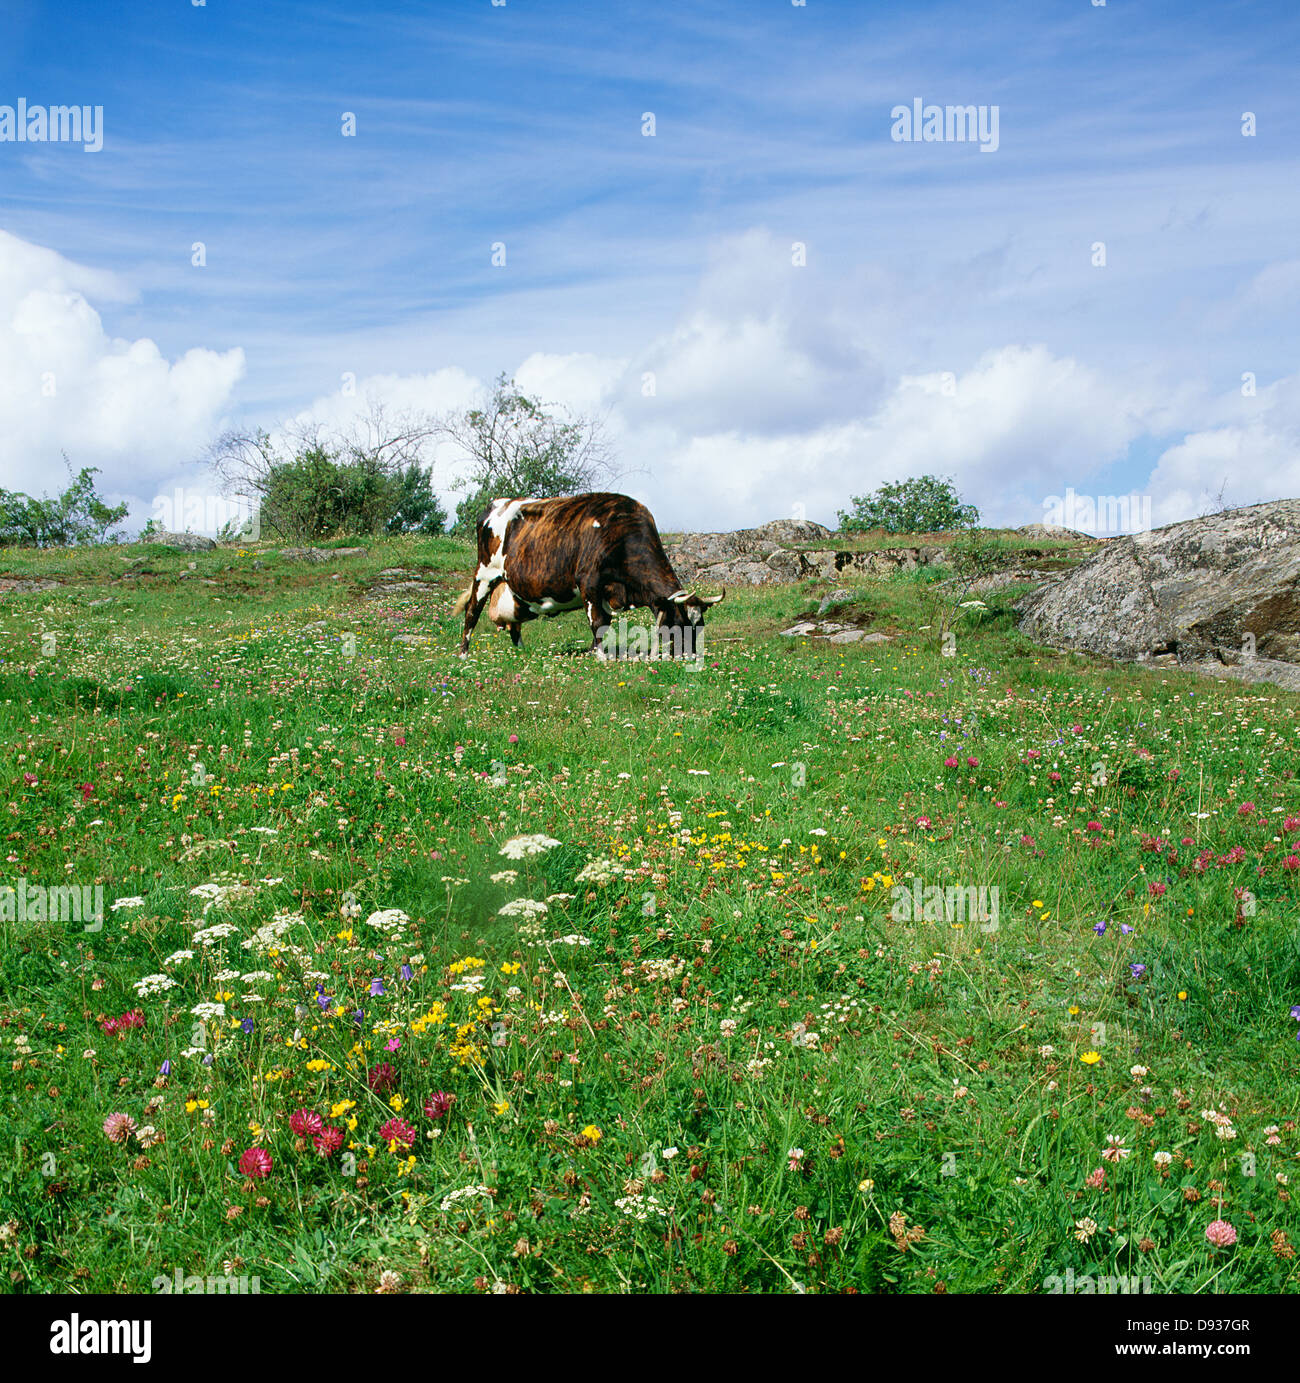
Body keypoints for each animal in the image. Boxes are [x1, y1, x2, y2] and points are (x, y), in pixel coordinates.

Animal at [450, 493, 723, 658]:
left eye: (699, 625)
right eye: (679, 622)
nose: (690, 655)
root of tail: (497, 503)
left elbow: (604, 623)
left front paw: (595, 652)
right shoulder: (589, 583)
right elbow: (598, 622)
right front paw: (601, 657)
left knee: (514, 626)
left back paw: (521, 653)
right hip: (485, 573)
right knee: (472, 613)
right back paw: (463, 654)